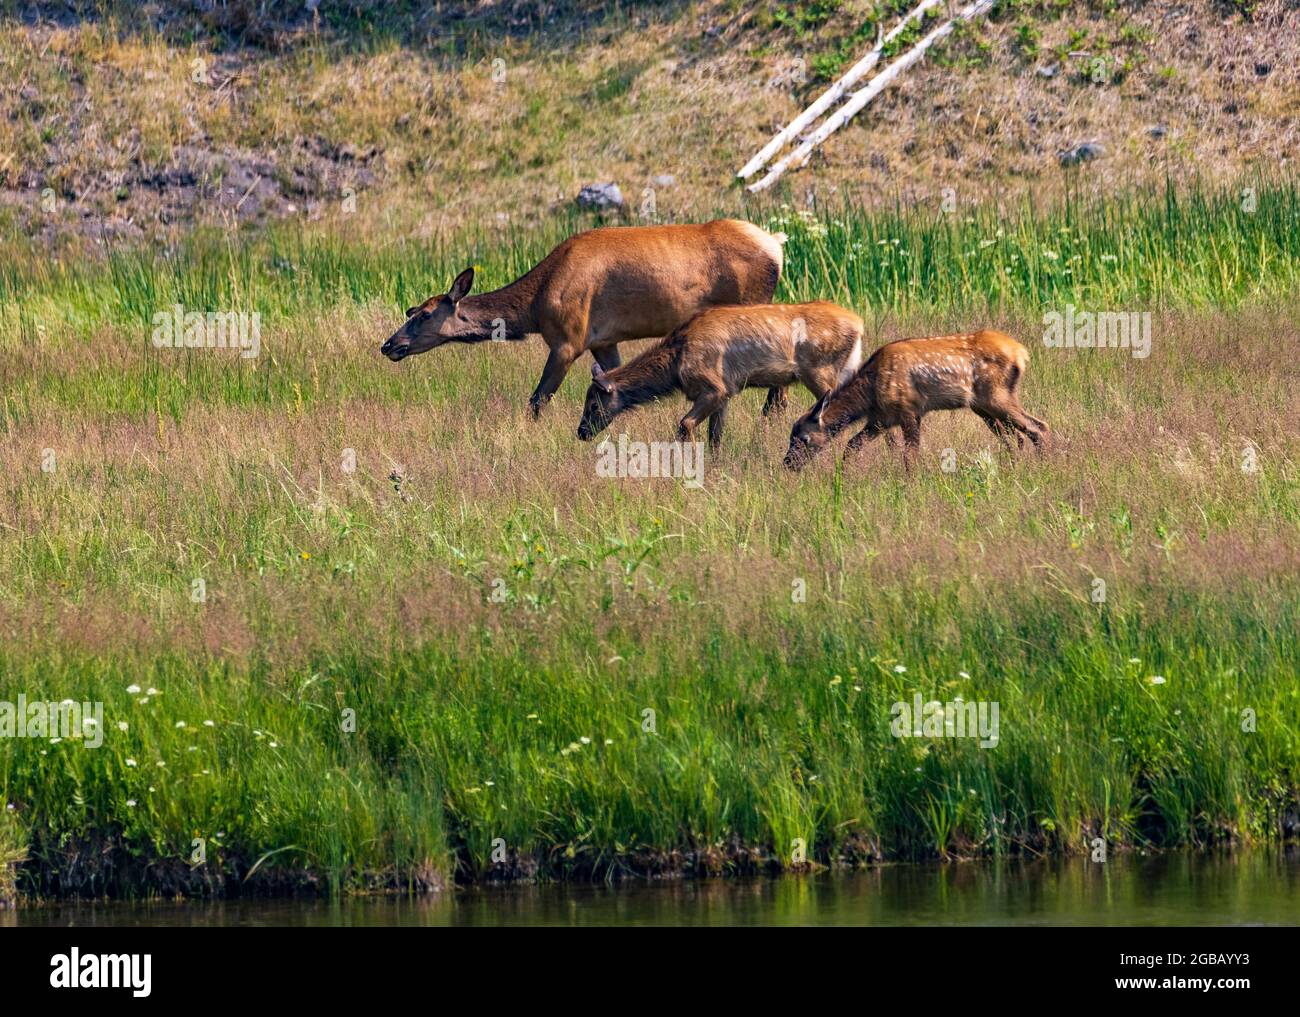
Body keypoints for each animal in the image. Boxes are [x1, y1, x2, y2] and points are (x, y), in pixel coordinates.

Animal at [380, 219, 791, 419]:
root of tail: (777, 244)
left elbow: (537, 400)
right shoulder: (603, 341)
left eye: (425, 314)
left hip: (751, 301)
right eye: (410, 310)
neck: (534, 307)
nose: (389, 344)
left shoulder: (568, 339)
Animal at [576, 301, 866, 449]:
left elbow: (685, 424)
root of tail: (860, 324)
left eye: (593, 405)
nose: (581, 432)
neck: (675, 365)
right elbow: (715, 436)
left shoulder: (714, 386)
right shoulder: (727, 391)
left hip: (820, 371)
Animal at [784, 329, 1049, 472]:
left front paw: (909, 482)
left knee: (1038, 427)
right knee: (1017, 435)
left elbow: (910, 454)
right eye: (790, 436)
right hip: (983, 407)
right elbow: (852, 445)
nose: (787, 463)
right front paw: (844, 474)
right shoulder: (880, 420)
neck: (870, 394)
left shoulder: (909, 410)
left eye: (803, 438)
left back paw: (1045, 465)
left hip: (997, 396)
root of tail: (1022, 353)